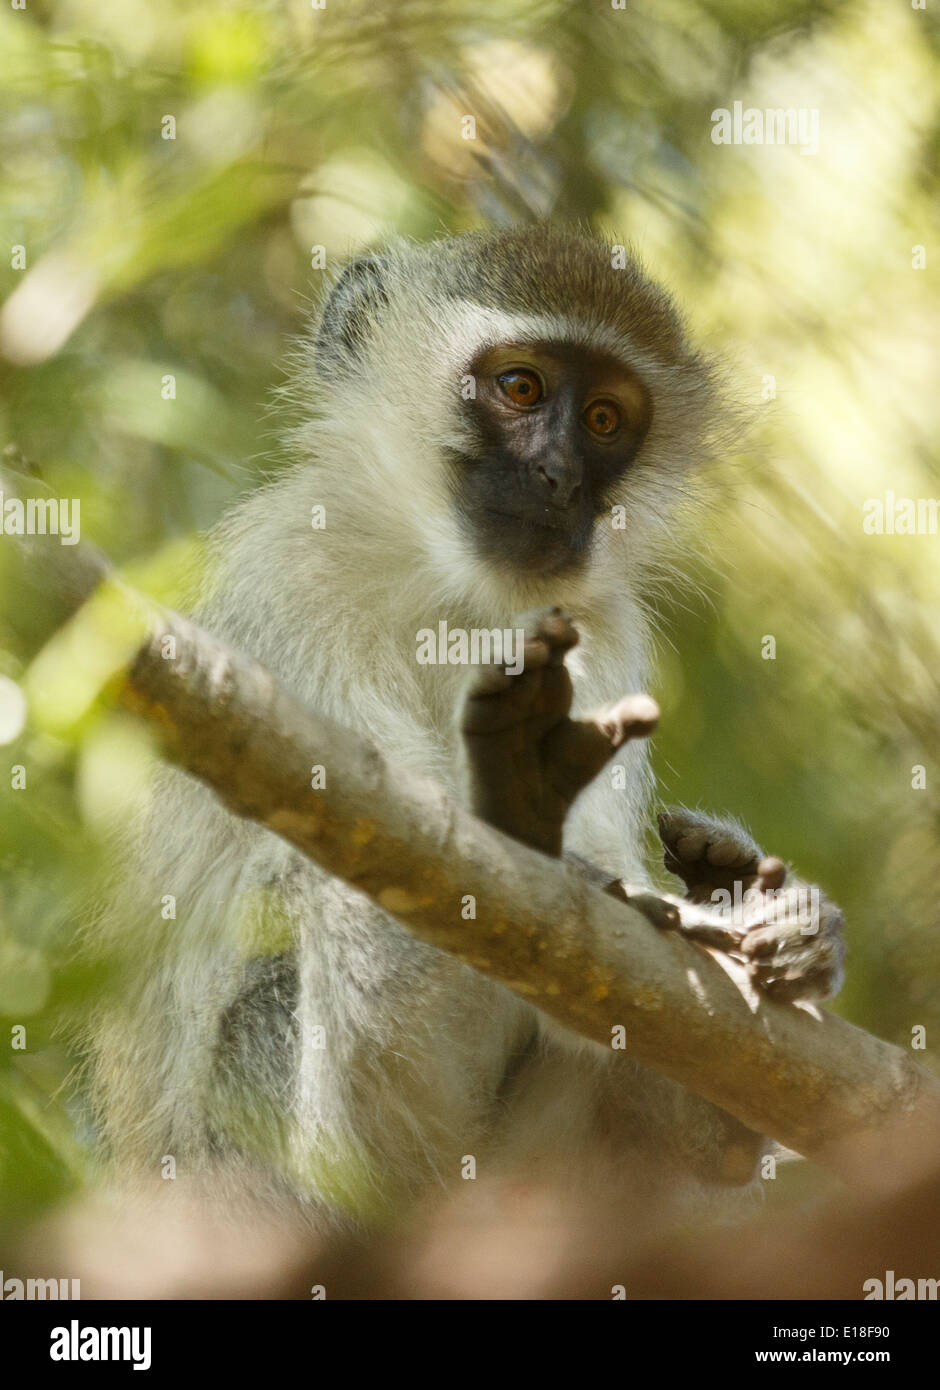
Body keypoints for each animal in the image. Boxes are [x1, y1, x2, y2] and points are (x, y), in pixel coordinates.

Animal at [86, 225, 845, 1233]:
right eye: (519, 387)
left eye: (605, 419)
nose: (559, 477)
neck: (458, 594)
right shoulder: (298, 581)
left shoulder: (601, 633)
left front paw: (777, 914)